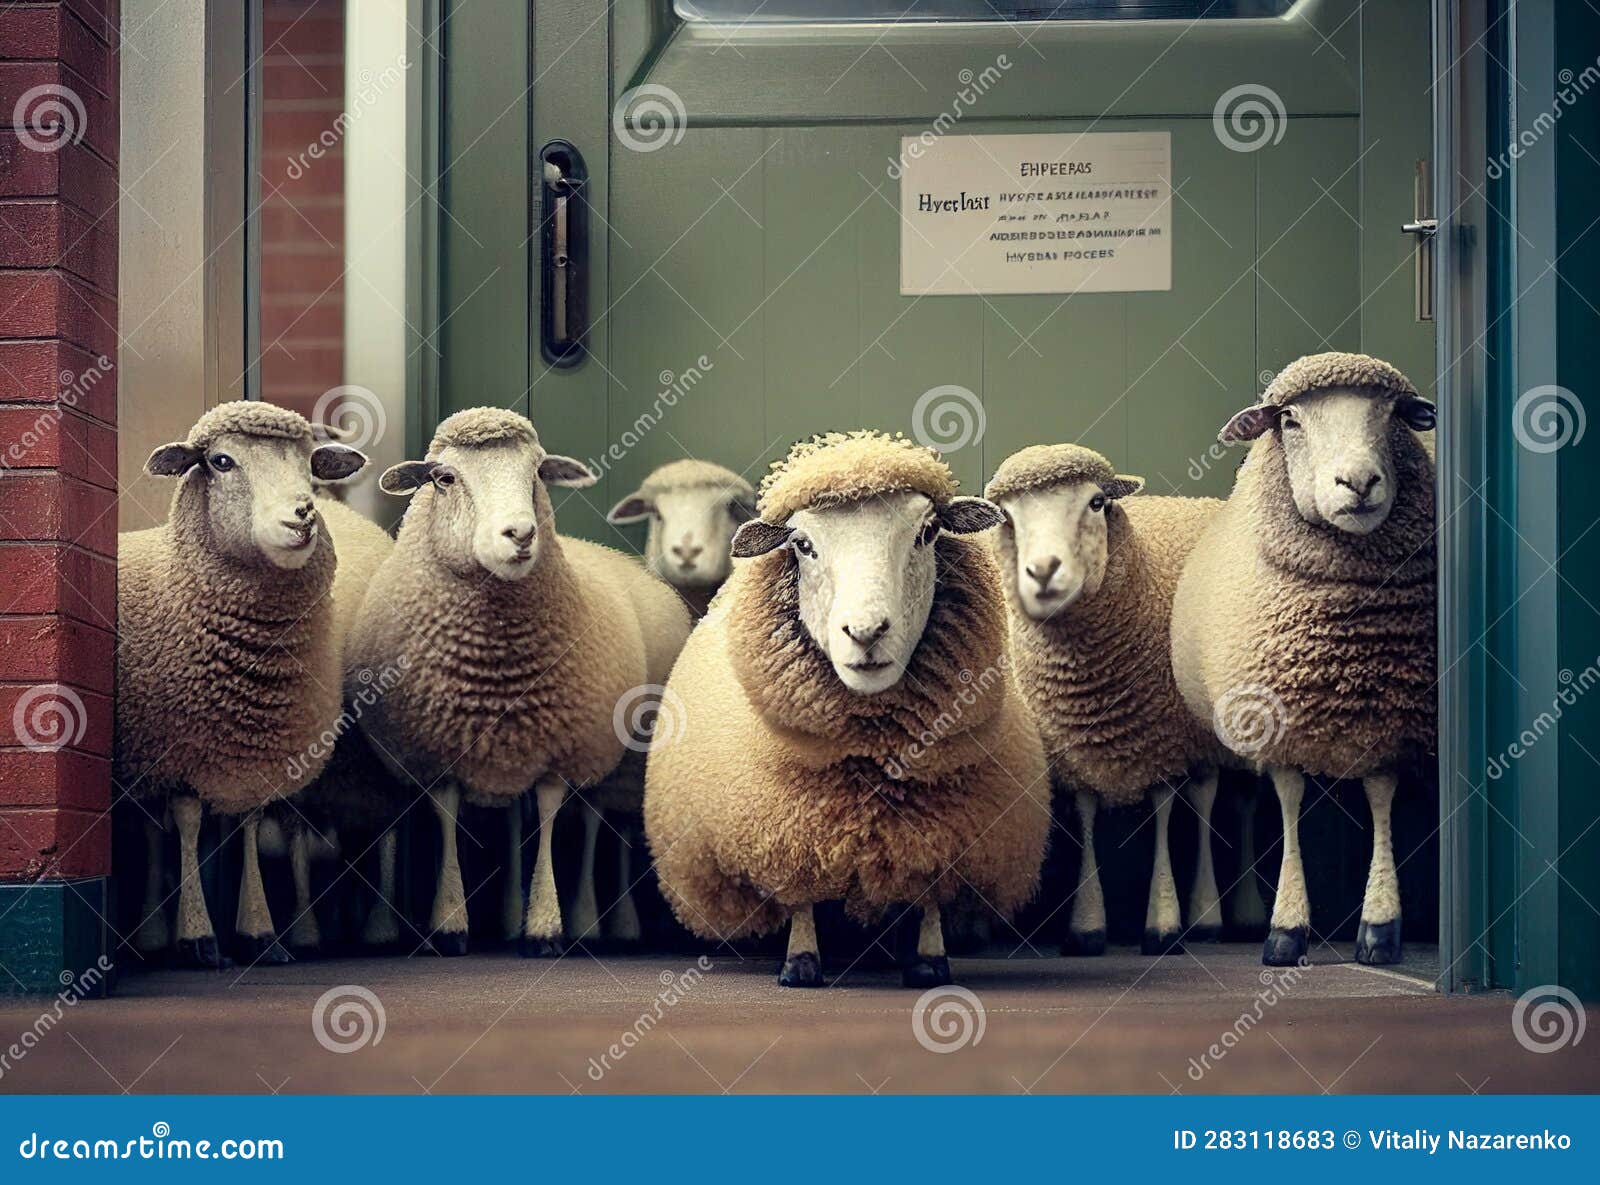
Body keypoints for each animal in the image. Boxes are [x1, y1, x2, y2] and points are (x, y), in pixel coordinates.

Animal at [117, 401, 368, 967]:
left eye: (311, 463)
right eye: (222, 461)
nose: (303, 513)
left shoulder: (252, 749)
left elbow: (250, 822)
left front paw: (258, 930)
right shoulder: (178, 751)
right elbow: (189, 821)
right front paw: (198, 936)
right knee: (152, 830)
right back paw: (152, 932)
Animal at [345, 407, 691, 956]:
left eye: (538, 473)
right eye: (444, 478)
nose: (521, 534)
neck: (495, 672)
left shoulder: (556, 747)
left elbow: (548, 817)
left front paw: (545, 926)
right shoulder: (440, 750)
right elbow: (447, 816)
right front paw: (450, 923)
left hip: (611, 764)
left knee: (593, 822)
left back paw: (591, 920)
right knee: (512, 819)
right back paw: (510, 915)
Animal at [644, 431, 1050, 988]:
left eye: (927, 533)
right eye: (802, 544)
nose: (865, 632)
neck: (870, 748)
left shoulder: (942, 829)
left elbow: (929, 883)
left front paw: (929, 961)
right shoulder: (788, 825)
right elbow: (799, 889)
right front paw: (800, 962)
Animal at [985, 444, 1227, 957]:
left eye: (1097, 503)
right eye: (1008, 517)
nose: (1042, 570)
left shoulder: (1160, 738)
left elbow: (1163, 810)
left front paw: (1163, 924)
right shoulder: (1074, 748)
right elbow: (1086, 812)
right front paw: (1086, 925)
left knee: (1204, 799)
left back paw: (1206, 918)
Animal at [1170, 351, 1436, 967]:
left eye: (1394, 413)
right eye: (1289, 419)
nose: (1358, 482)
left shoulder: (1388, 717)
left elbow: (1381, 798)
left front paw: (1380, 925)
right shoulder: (1276, 722)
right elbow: (1290, 805)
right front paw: (1286, 928)